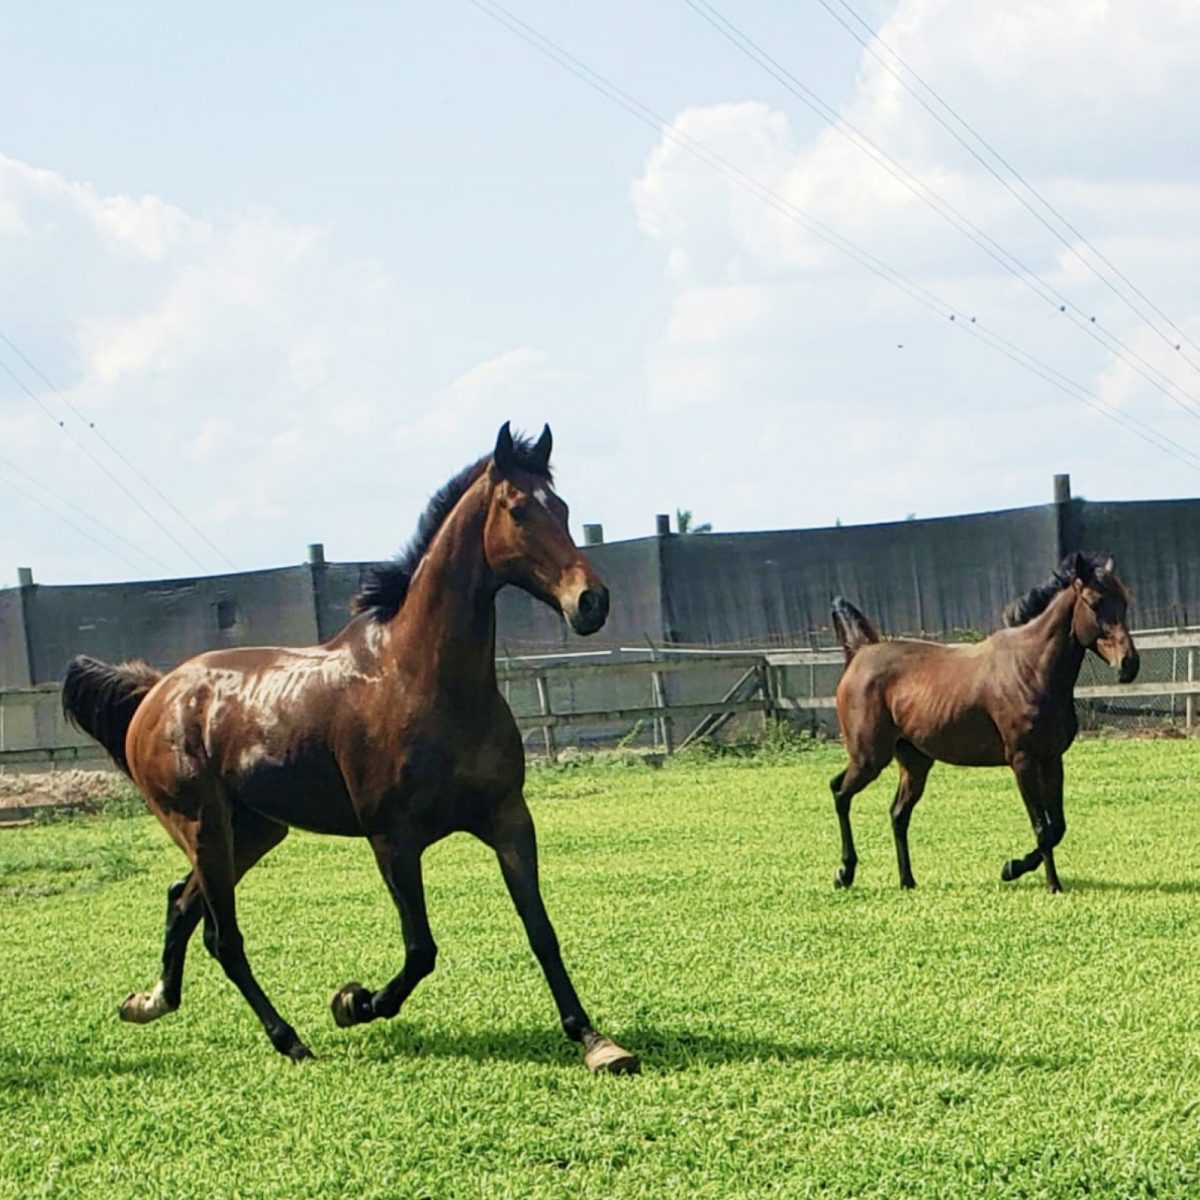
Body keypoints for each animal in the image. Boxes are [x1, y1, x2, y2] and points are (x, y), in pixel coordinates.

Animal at [62, 422, 638, 1074]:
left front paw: (596, 1041)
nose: (591, 601)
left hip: (254, 830)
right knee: (223, 936)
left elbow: (540, 928)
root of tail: (157, 692)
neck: (419, 679)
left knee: (182, 904)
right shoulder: (393, 839)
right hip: (201, 826)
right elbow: (420, 949)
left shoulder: (509, 818)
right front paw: (353, 1002)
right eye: (518, 511)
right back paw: (289, 1040)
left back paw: (149, 1002)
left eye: (561, 508)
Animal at [826, 552, 1139, 894]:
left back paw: (907, 880)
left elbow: (1058, 826)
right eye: (1095, 602)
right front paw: (1049, 884)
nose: (1129, 664)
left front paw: (1012, 868)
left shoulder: (1052, 760)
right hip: (869, 758)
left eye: (1124, 601)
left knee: (897, 814)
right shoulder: (1023, 761)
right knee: (840, 793)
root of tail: (860, 654)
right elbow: (1042, 828)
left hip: (914, 763)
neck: (1030, 669)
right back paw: (844, 872)